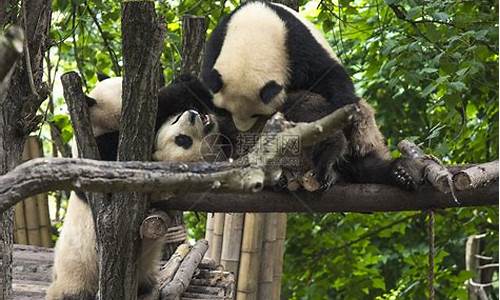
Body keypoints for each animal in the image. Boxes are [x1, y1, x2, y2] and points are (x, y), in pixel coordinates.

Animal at [199, 1, 356, 132]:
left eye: (256, 114)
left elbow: (325, 72)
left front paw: (341, 106)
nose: (242, 129)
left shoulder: (295, 41)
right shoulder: (219, 38)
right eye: (227, 111)